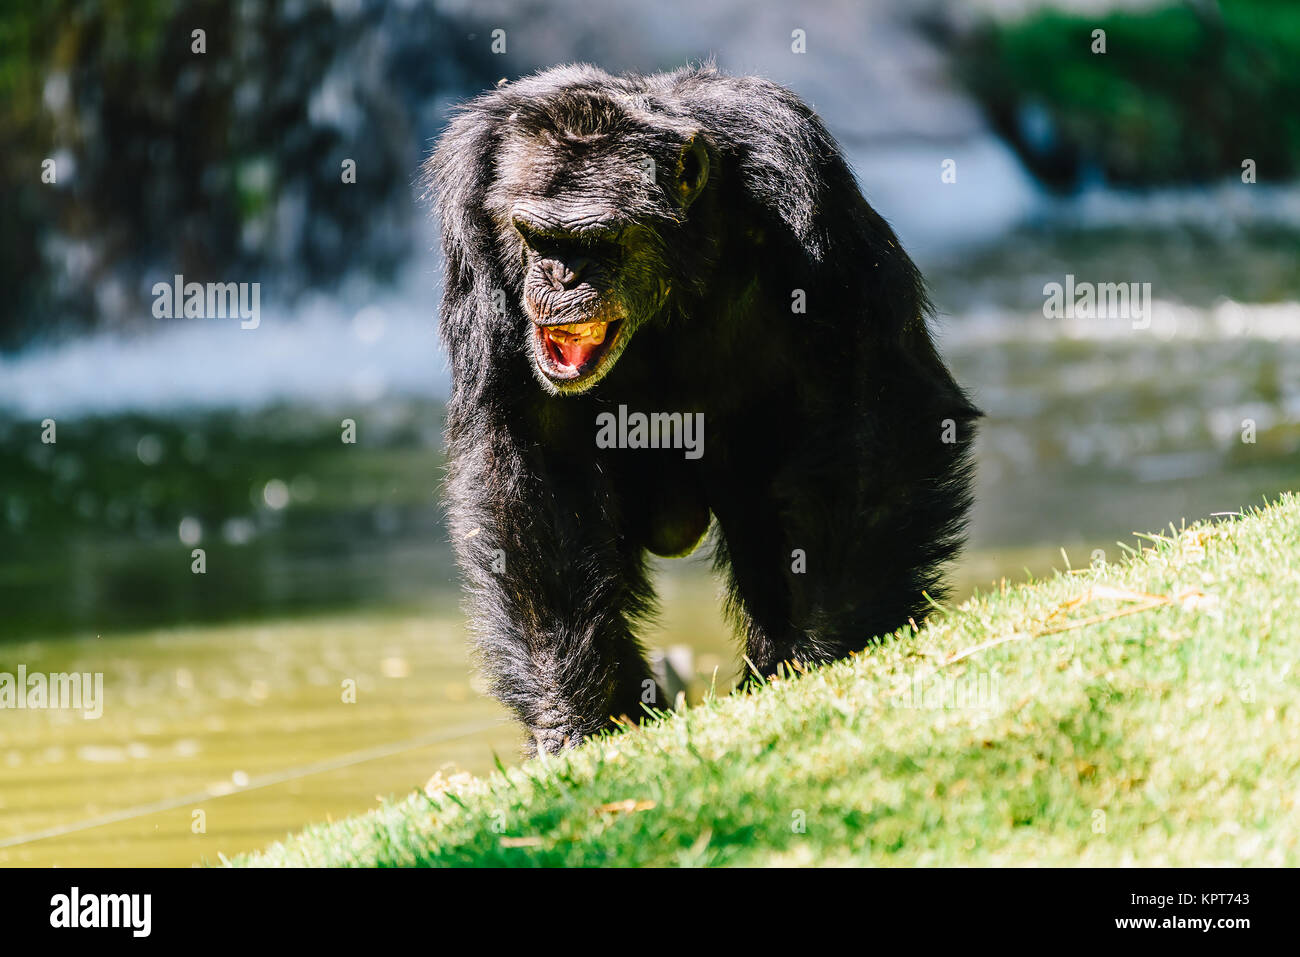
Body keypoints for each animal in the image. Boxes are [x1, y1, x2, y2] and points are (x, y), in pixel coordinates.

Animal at [426, 64, 979, 754]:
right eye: (532, 235)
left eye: (597, 238)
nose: (557, 276)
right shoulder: (468, 199)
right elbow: (530, 456)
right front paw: (571, 719)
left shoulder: (805, 177)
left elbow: (873, 401)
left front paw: (828, 653)